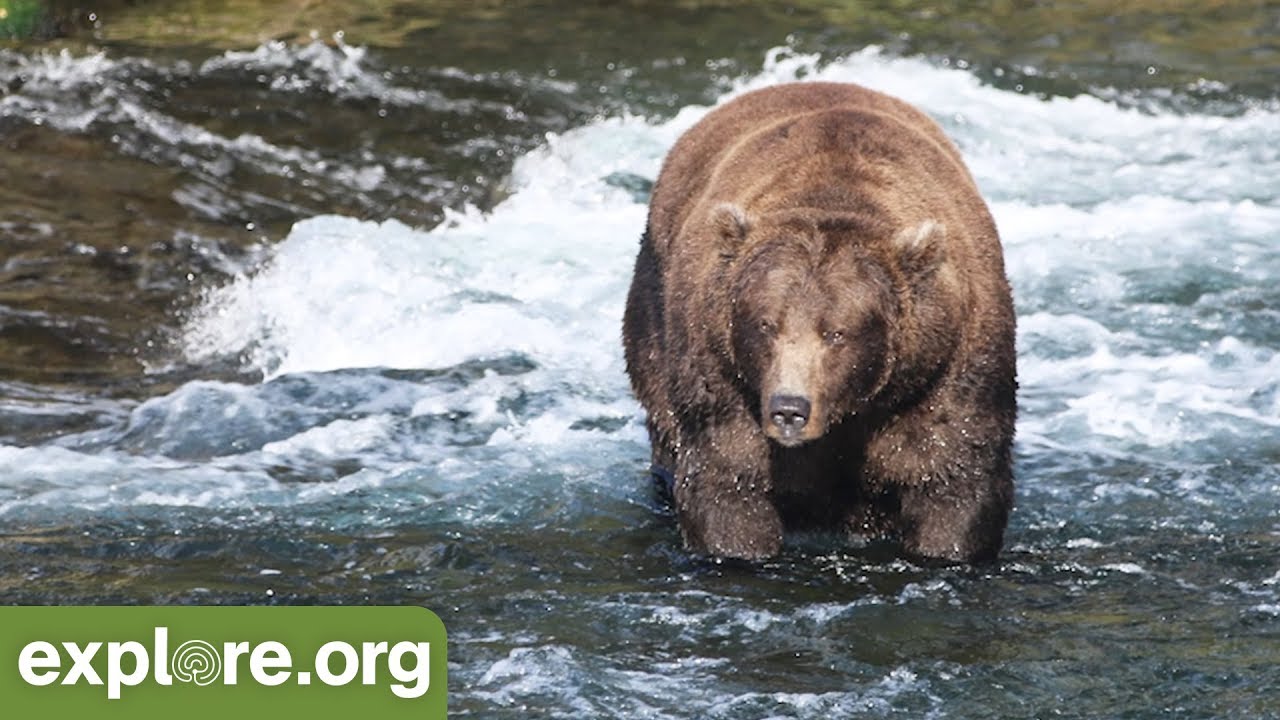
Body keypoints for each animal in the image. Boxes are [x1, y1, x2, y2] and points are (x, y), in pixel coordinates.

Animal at [622, 81, 1016, 565]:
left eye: (836, 333)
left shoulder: (945, 373)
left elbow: (953, 483)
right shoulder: (723, 378)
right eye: (766, 324)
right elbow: (728, 483)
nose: (789, 408)